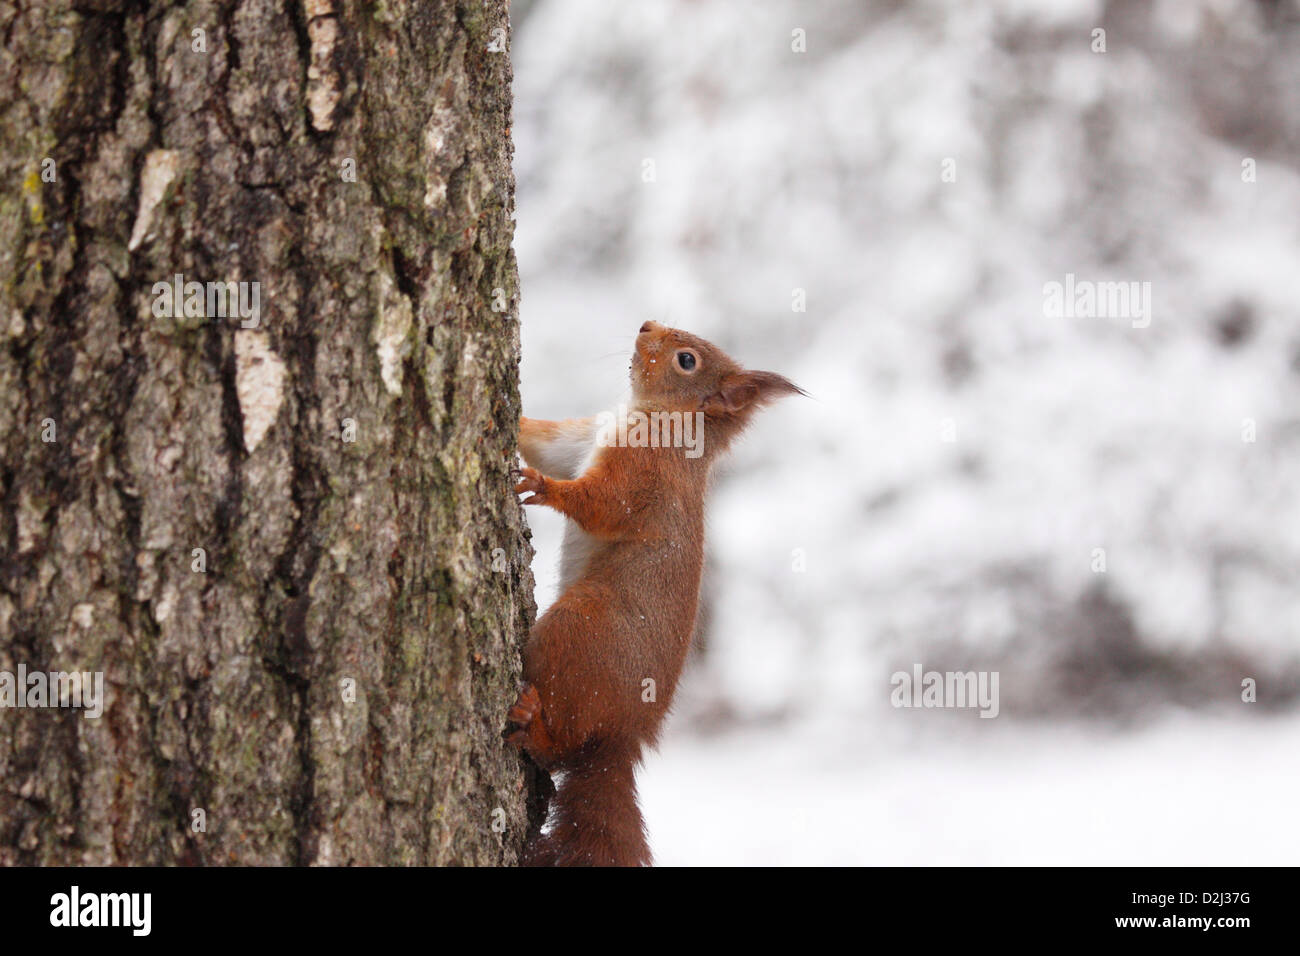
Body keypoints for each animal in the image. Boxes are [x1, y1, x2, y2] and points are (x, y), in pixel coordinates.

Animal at [507, 320, 802, 866]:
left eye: (686, 361)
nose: (646, 325)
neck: (657, 417)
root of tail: (622, 738)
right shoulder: (583, 439)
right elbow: (546, 442)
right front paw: (513, 420)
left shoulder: (642, 474)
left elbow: (598, 503)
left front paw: (544, 488)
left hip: (575, 631)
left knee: (557, 747)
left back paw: (531, 724)